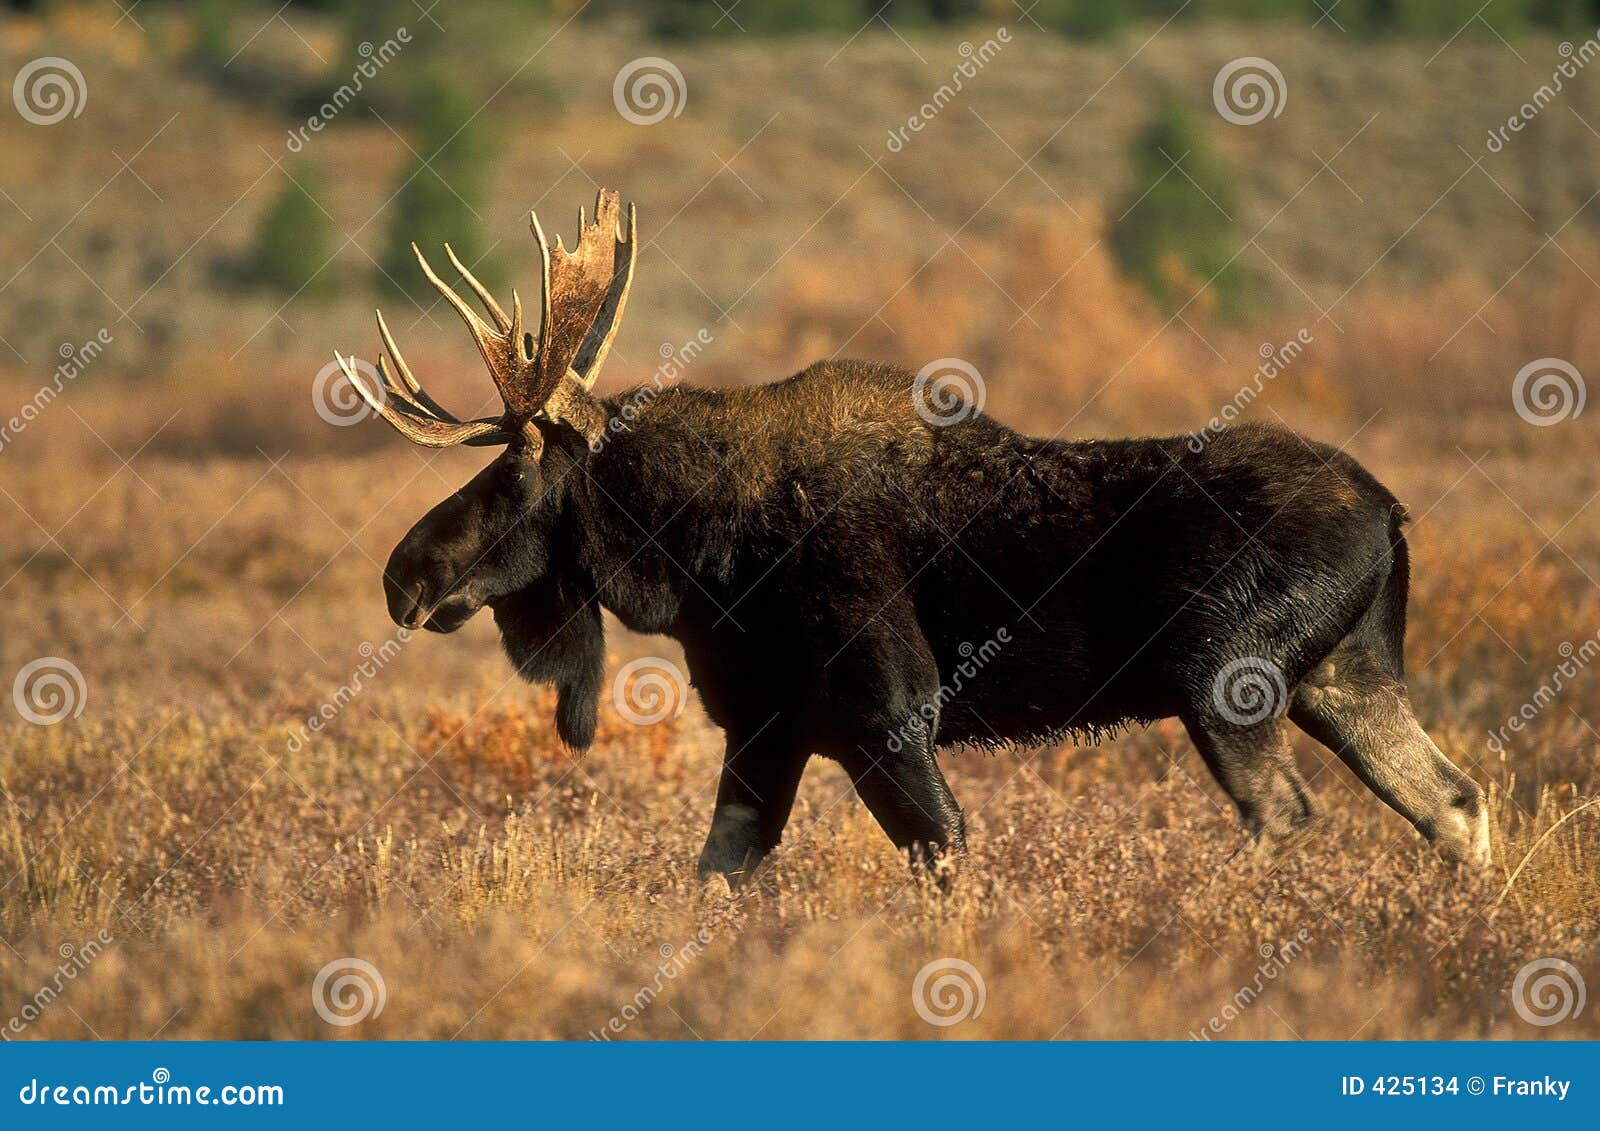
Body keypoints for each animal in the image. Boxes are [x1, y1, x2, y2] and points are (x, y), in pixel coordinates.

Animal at [335, 189, 1491, 889]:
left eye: (517, 468)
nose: (402, 573)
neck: (693, 558)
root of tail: (1392, 512)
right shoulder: (767, 725)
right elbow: (716, 873)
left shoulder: (888, 710)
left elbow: (945, 856)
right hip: (1345, 678)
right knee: (1456, 800)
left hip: (1225, 675)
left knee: (1284, 815)